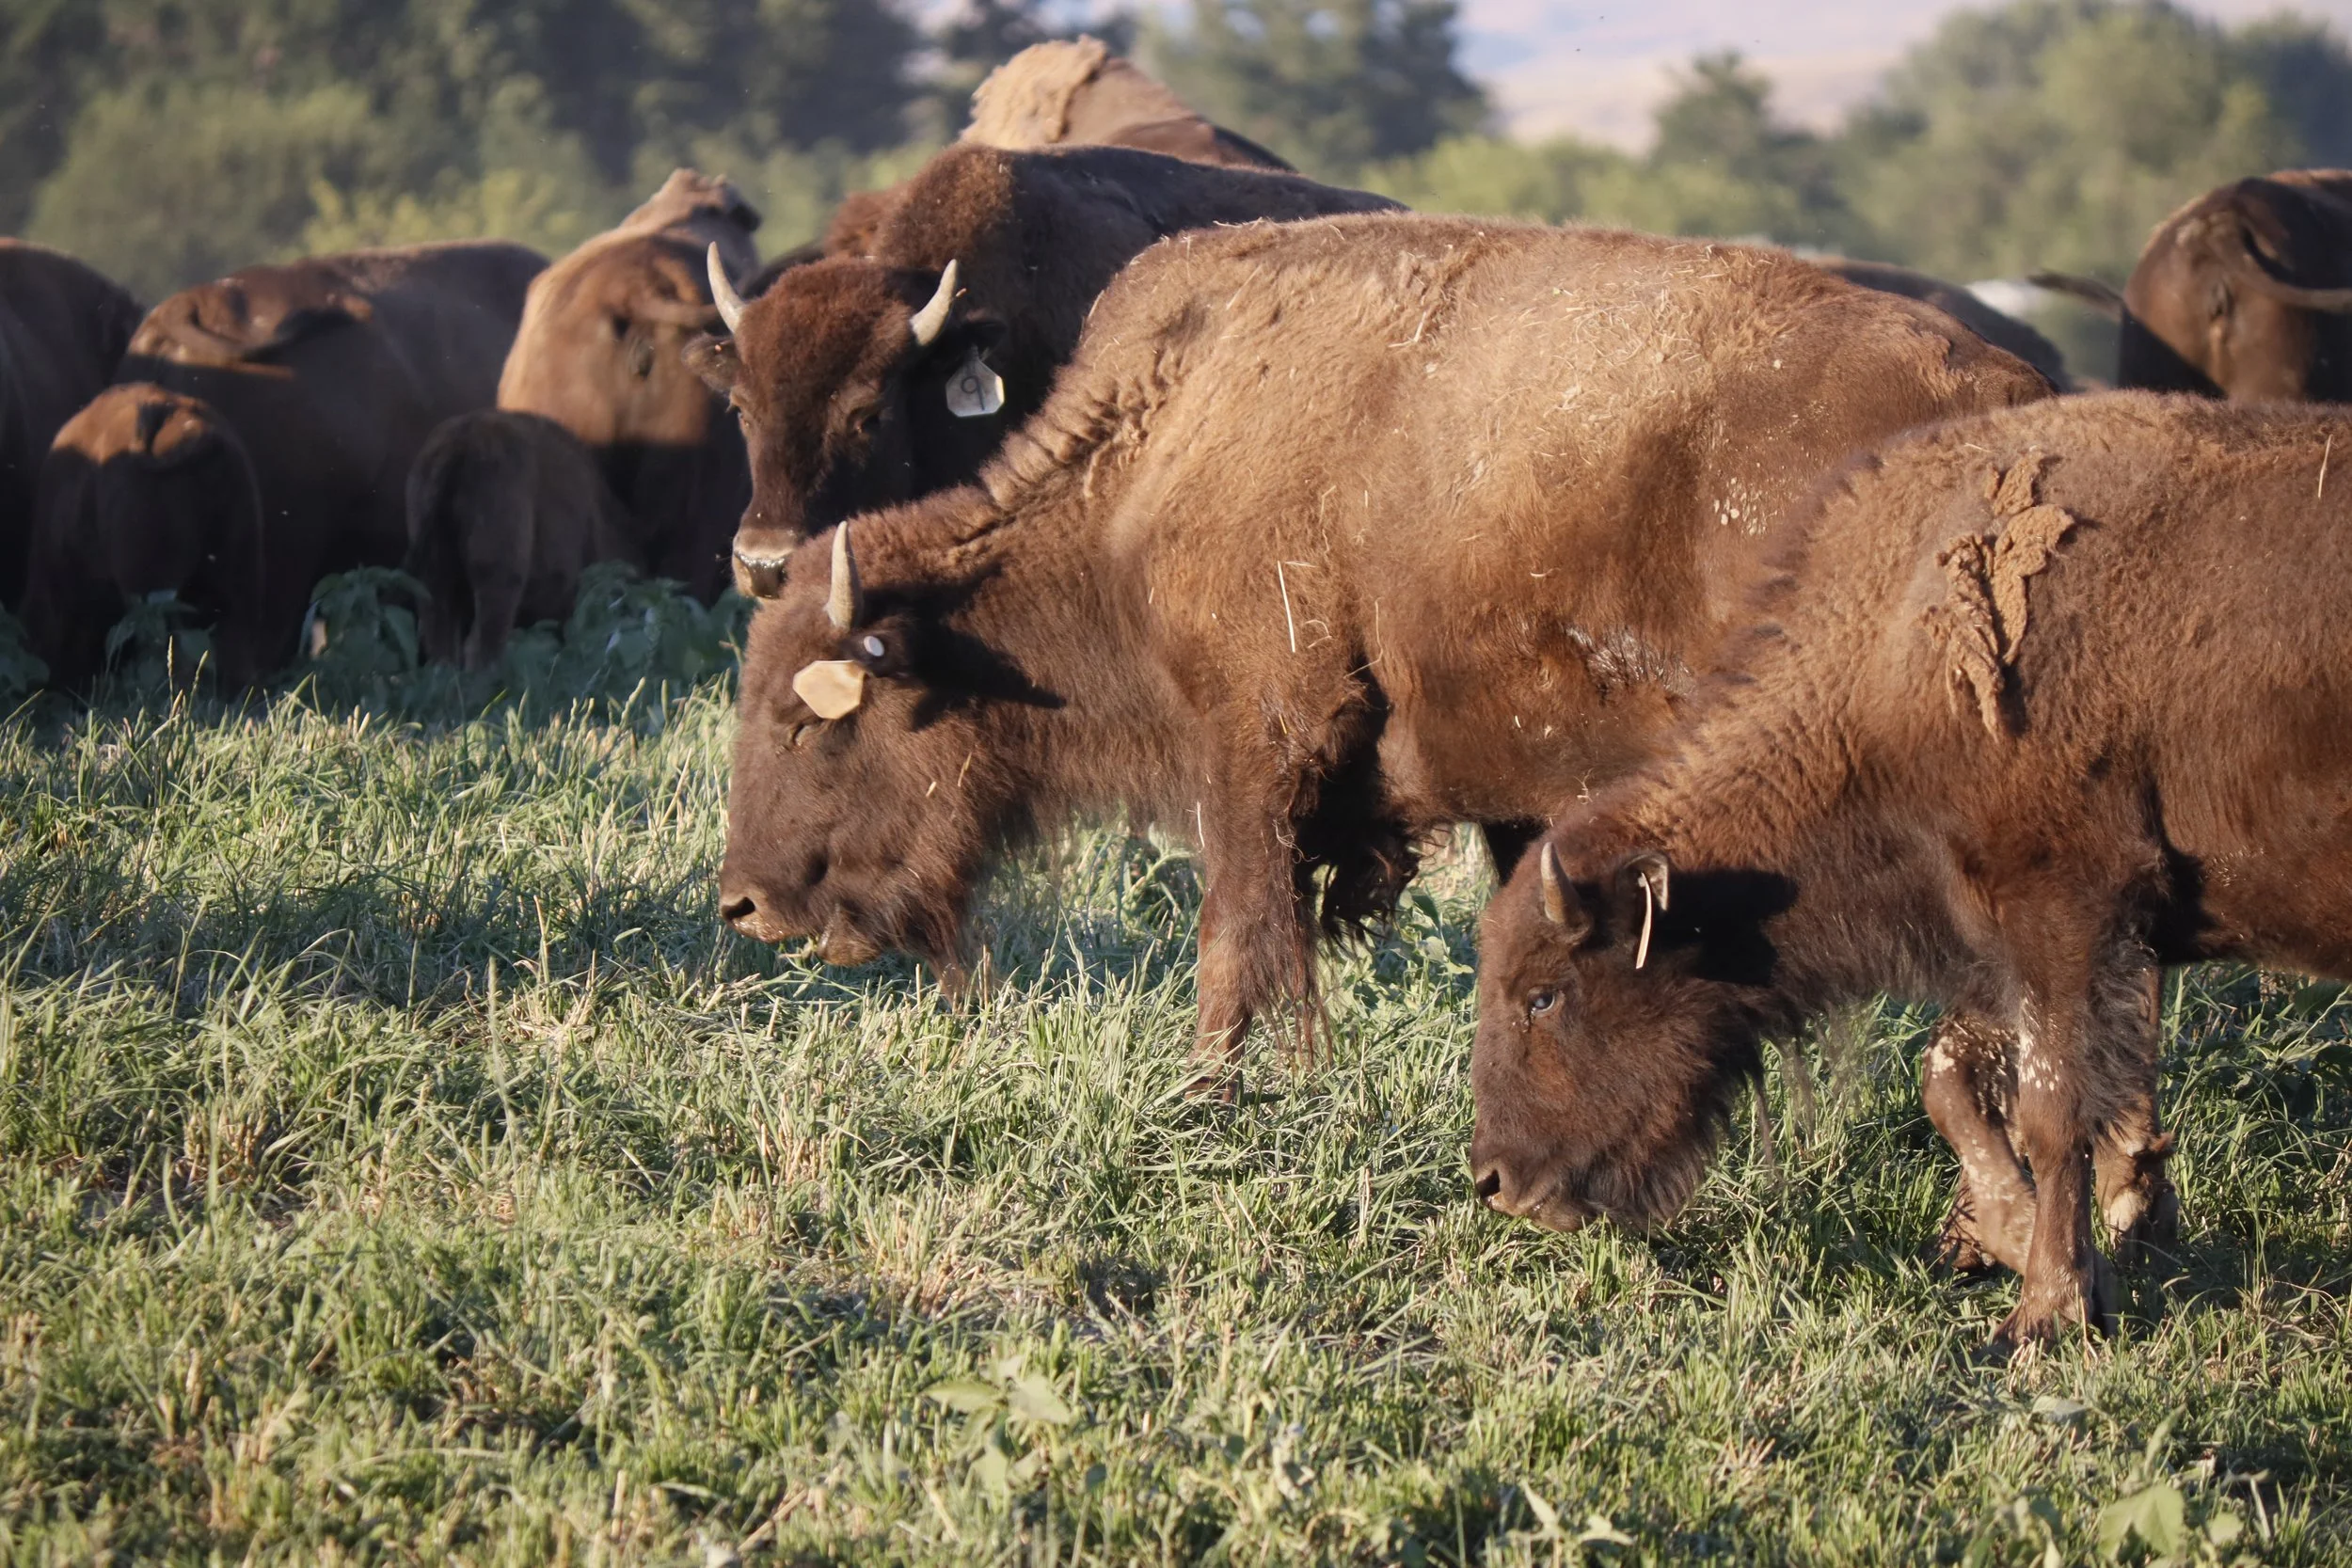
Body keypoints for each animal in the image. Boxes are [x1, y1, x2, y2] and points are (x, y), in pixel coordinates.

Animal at [717, 214, 2052, 1089]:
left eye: (805, 721)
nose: (745, 902)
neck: (1162, 451)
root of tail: (2008, 394)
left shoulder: (1255, 740)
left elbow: (1238, 933)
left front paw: (1223, 1091)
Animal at [1469, 392, 2352, 1342]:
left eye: (1544, 995)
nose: (1495, 1181)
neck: (1887, 650)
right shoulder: (2000, 935)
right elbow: (1952, 1080)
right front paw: (2024, 1236)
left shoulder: (2064, 917)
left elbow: (2053, 1112)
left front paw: (2046, 1311)